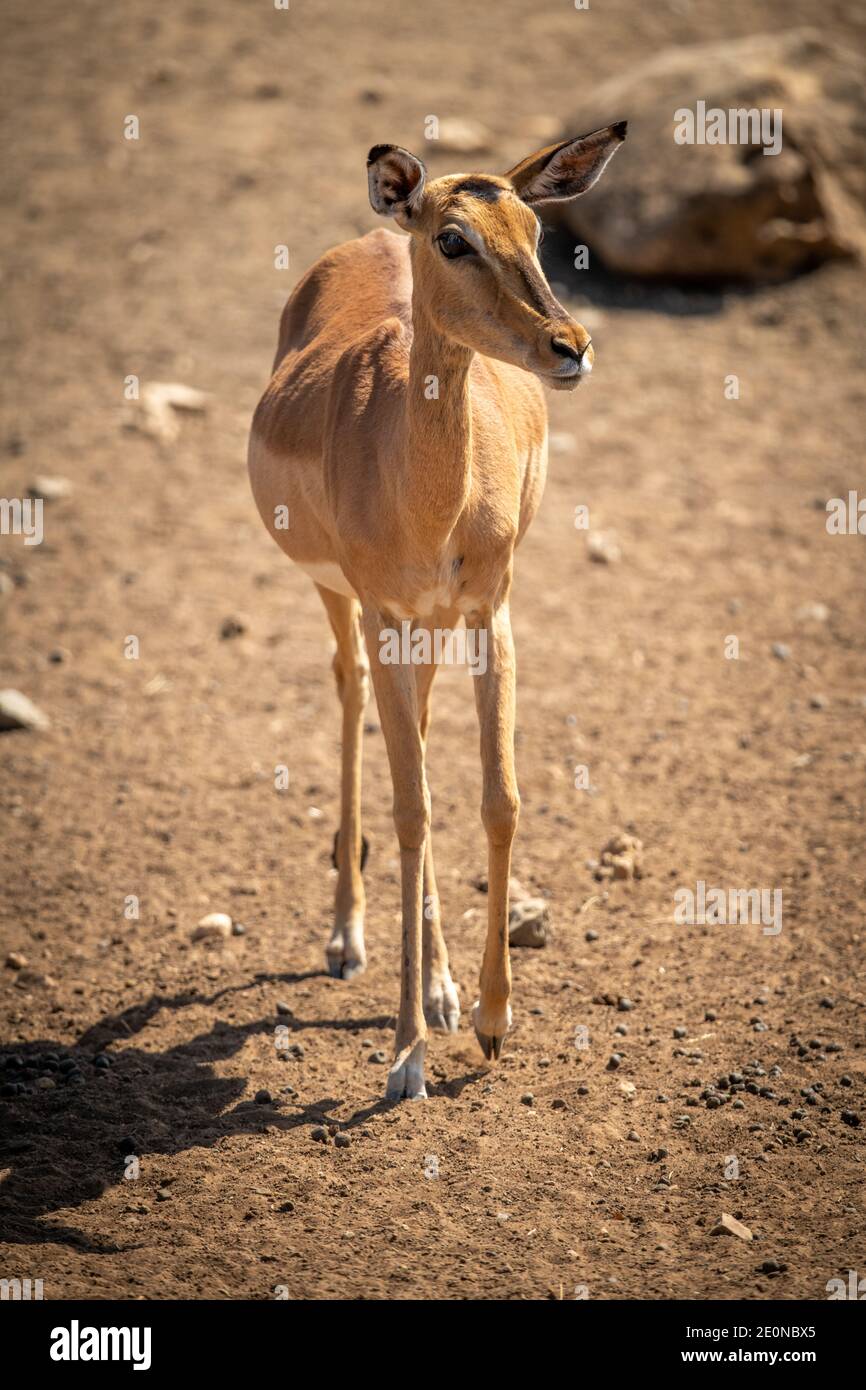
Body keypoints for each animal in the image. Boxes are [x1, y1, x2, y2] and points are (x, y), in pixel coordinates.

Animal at [248, 123, 627, 1099]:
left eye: (536, 227)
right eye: (453, 238)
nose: (570, 345)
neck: (431, 499)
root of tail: (371, 236)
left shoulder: (491, 611)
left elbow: (499, 799)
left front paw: (490, 1020)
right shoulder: (385, 610)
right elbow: (413, 810)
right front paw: (406, 1056)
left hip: (430, 628)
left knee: (411, 735)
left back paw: (446, 989)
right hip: (347, 603)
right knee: (352, 698)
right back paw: (348, 939)